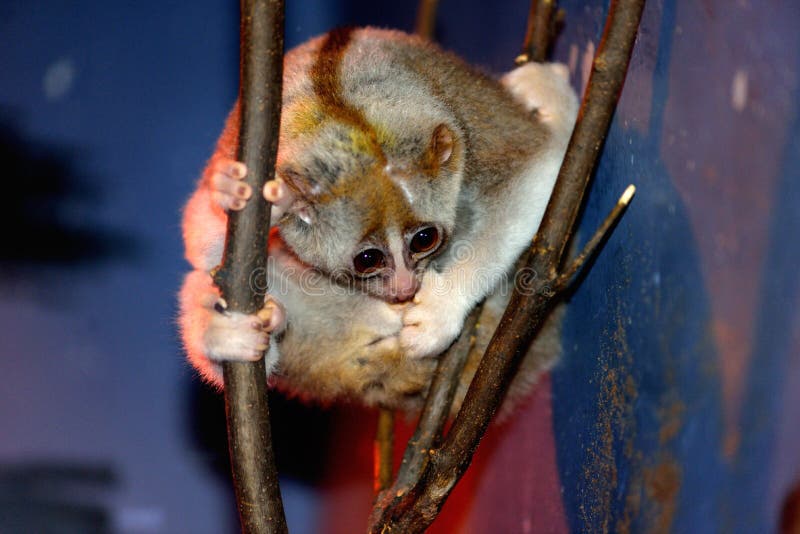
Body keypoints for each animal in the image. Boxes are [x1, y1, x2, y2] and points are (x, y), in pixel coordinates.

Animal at [178, 27, 578, 413]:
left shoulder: (475, 126)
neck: (340, 112)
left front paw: (440, 309)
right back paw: (228, 334)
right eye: (368, 259)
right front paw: (235, 193)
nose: (404, 290)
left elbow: (546, 166)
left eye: (424, 239)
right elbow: (200, 233)